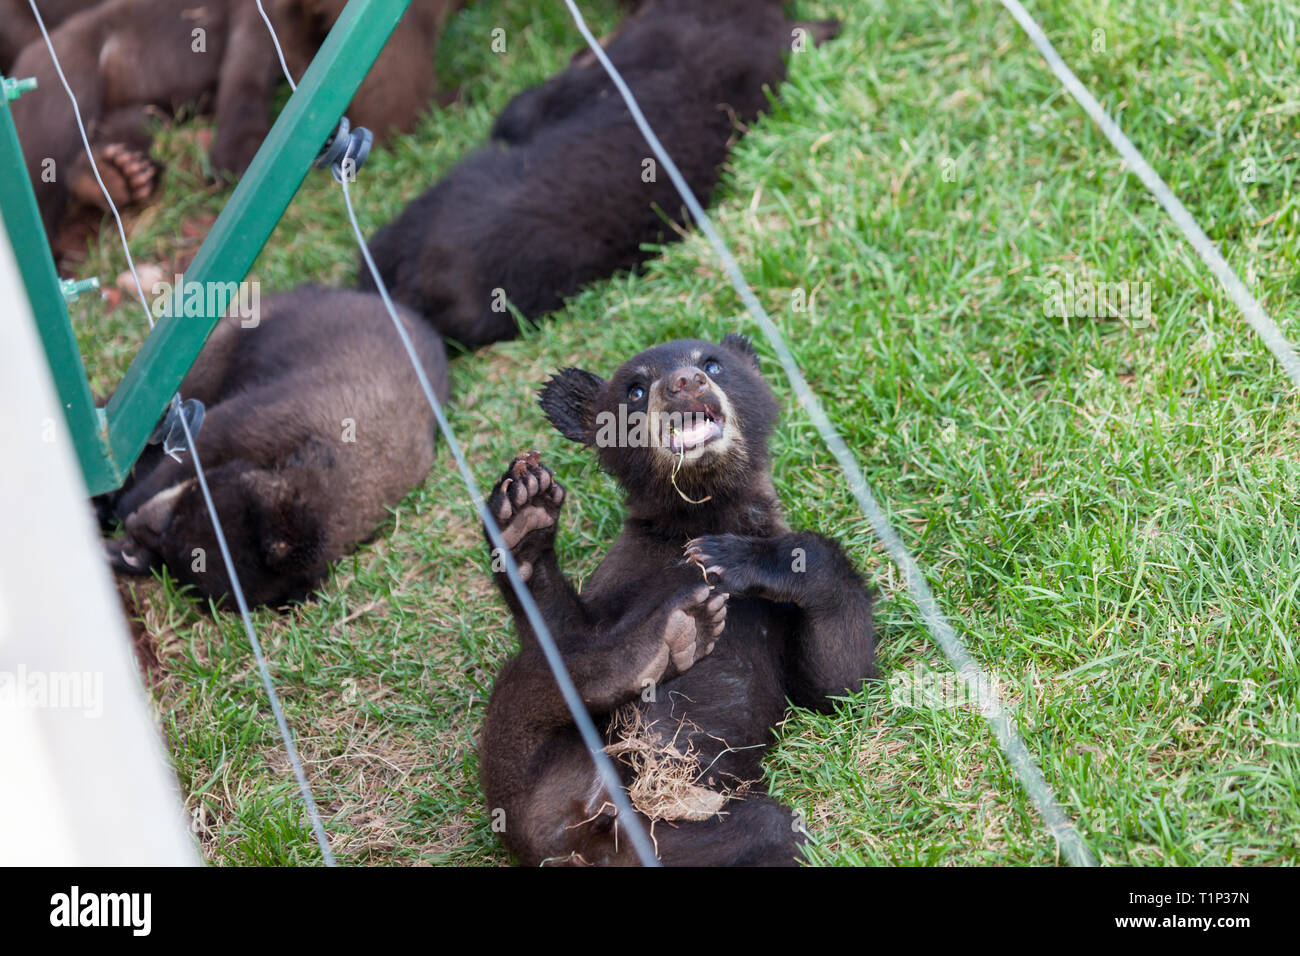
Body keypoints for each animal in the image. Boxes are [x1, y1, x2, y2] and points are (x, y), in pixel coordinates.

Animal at [103, 285, 450, 608]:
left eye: (175, 556)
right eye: (194, 500)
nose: (134, 522)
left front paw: (126, 551)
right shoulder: (268, 416)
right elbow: (196, 446)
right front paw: (119, 506)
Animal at [478, 333, 876, 866]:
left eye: (713, 362)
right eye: (635, 389)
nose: (684, 382)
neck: (700, 510)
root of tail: (586, 831)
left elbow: (840, 682)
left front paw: (731, 556)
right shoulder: (620, 577)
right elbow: (565, 629)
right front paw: (526, 515)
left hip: (688, 836)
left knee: (777, 832)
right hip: (530, 779)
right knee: (540, 674)